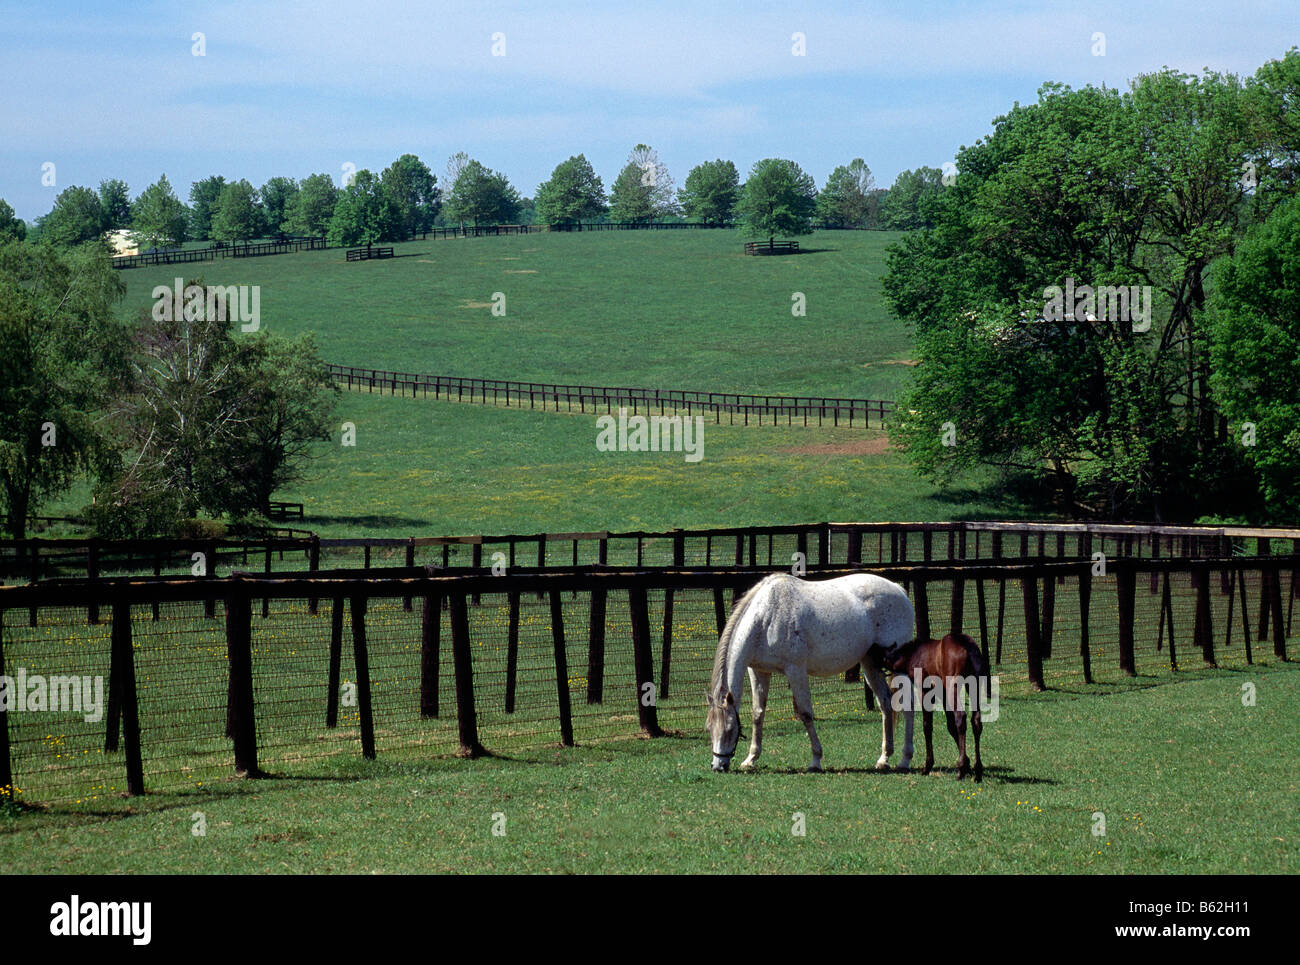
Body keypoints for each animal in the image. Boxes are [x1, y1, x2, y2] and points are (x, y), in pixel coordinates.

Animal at [705, 572, 916, 773]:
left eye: (730, 728)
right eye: (709, 728)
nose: (718, 766)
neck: (766, 618)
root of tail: (898, 589)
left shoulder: (795, 670)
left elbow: (805, 713)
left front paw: (816, 760)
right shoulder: (758, 671)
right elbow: (758, 714)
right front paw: (750, 759)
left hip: (897, 666)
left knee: (908, 705)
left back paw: (905, 760)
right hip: (870, 663)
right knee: (885, 704)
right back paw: (884, 759)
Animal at [887, 632, 987, 781]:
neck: (915, 653)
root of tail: (966, 645)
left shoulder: (925, 690)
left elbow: (927, 726)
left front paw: (927, 766)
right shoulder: (942, 693)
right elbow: (950, 726)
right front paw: (968, 765)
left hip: (954, 687)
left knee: (961, 718)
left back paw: (960, 770)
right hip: (973, 687)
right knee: (976, 721)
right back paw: (977, 770)